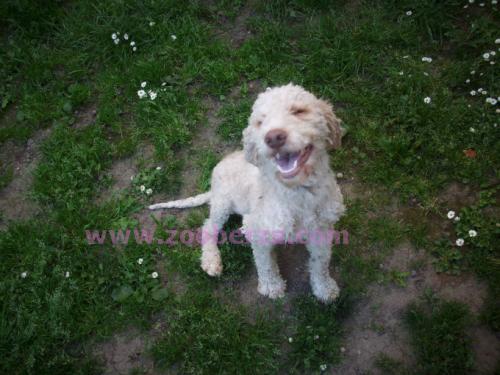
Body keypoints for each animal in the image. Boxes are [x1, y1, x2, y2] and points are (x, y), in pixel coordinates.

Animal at [148, 83, 346, 302]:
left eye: (299, 111)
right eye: (261, 122)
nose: (273, 138)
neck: (296, 193)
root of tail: (213, 187)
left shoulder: (322, 229)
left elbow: (321, 262)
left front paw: (324, 288)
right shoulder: (255, 229)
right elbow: (265, 263)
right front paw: (271, 286)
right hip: (223, 204)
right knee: (208, 227)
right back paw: (211, 260)